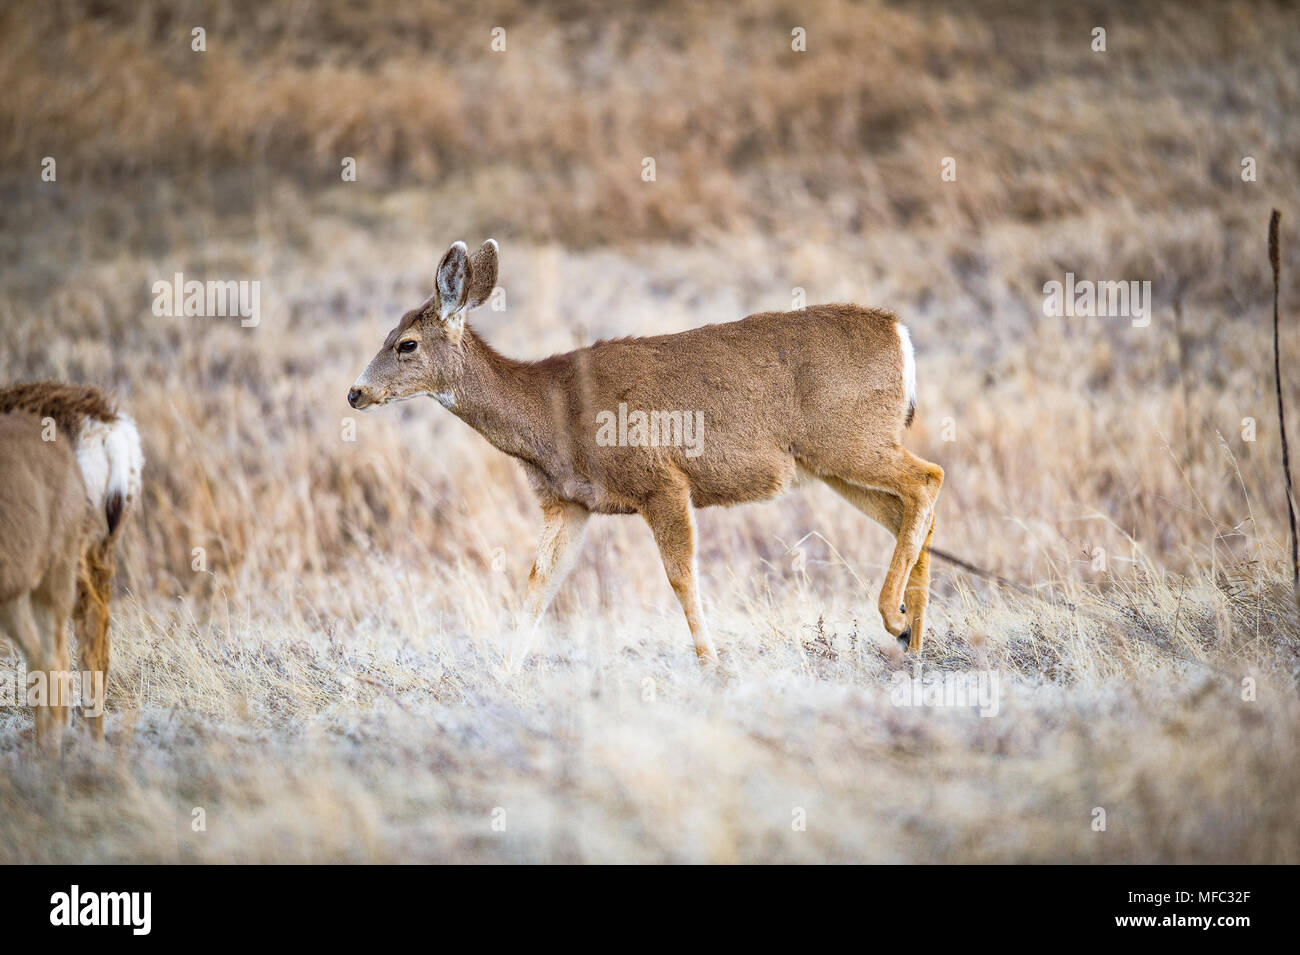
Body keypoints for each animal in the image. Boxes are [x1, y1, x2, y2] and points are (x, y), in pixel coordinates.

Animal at [348, 240, 944, 666]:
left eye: (406, 344)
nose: (355, 393)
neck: (550, 412)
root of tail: (901, 333)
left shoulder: (661, 481)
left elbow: (680, 576)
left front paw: (712, 664)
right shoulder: (569, 502)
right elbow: (539, 585)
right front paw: (506, 673)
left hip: (850, 441)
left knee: (928, 477)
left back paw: (895, 620)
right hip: (834, 463)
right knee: (908, 510)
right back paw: (913, 639)